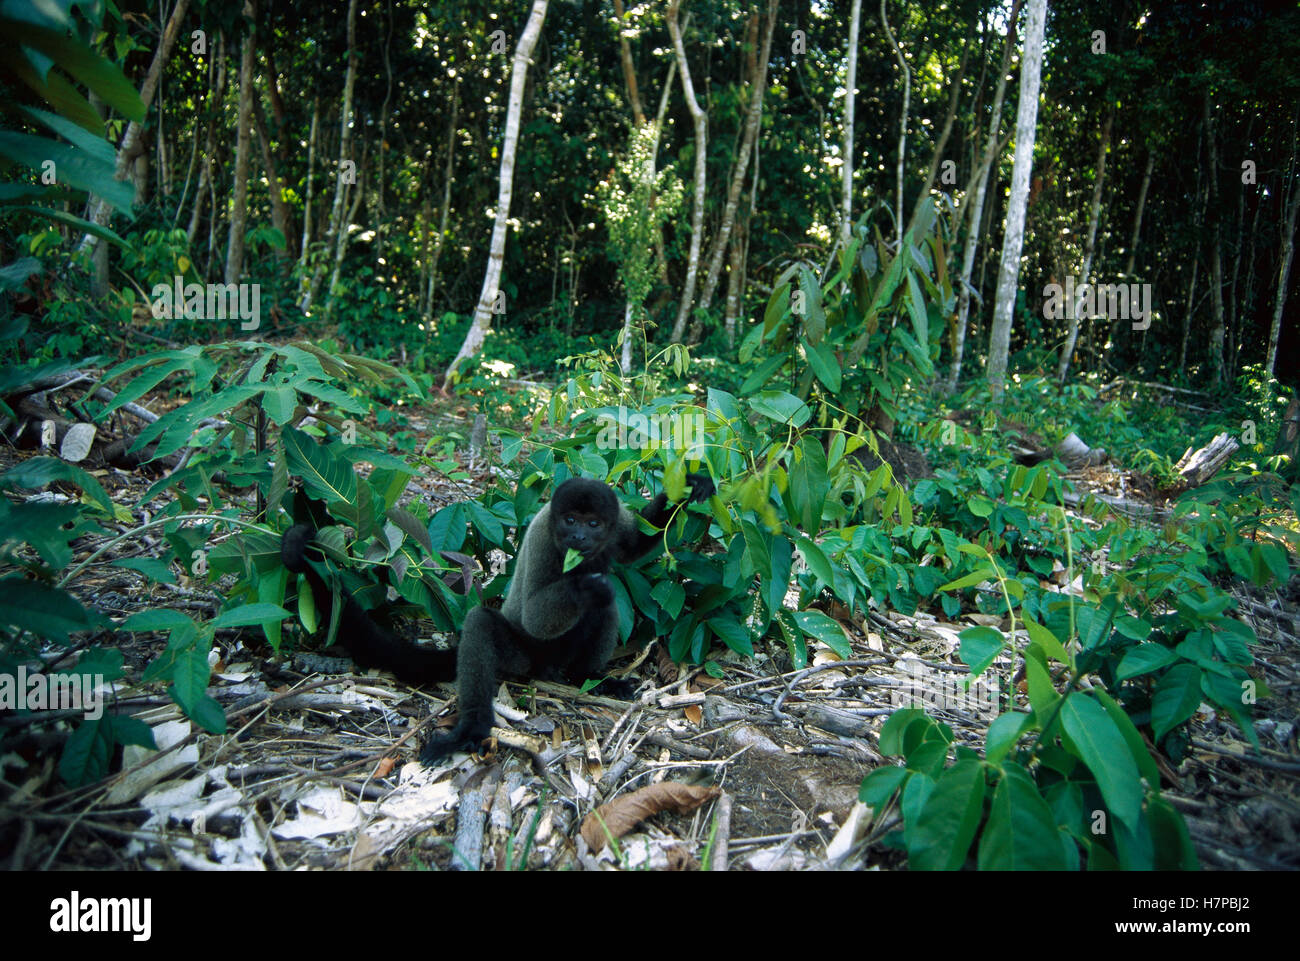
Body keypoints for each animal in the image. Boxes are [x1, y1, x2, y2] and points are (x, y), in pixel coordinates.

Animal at [281, 474, 714, 764]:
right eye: (570, 520)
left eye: (593, 523)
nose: (579, 538)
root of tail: (547, 668)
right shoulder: (543, 540)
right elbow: (537, 616)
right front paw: (587, 585)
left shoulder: (617, 524)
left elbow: (635, 543)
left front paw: (693, 488)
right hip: (521, 656)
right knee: (484, 624)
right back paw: (471, 729)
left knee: (607, 611)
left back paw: (591, 678)